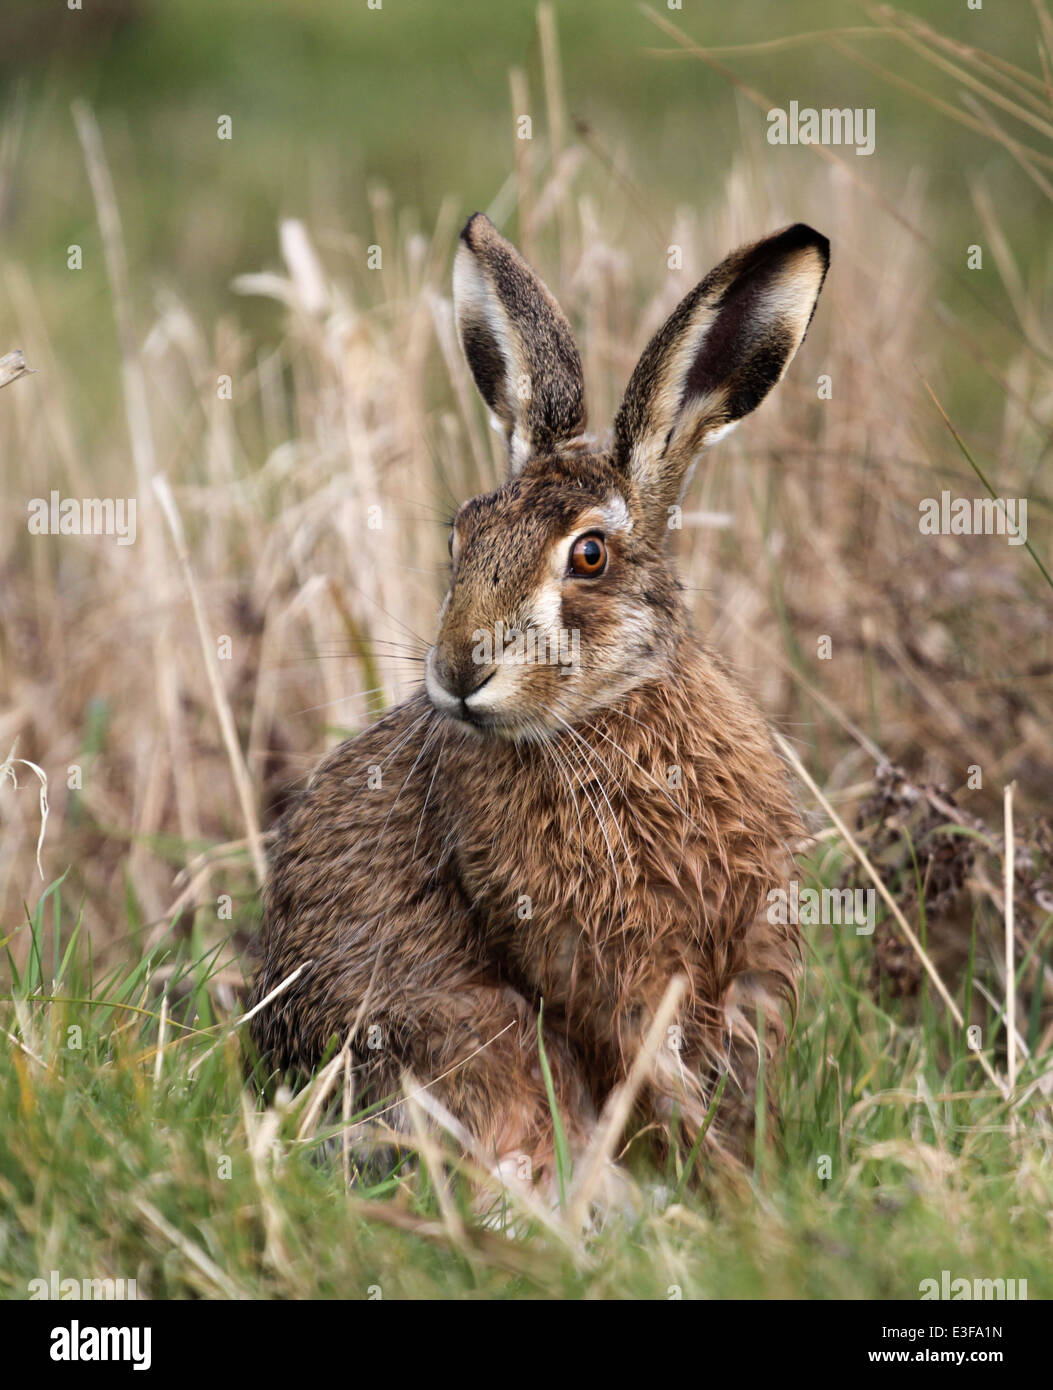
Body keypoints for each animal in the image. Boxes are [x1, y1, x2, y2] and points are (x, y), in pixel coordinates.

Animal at [250, 212, 829, 1198]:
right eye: (461, 536)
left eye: (588, 556)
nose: (458, 669)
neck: (608, 716)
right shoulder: (599, 975)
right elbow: (654, 1079)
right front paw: (725, 1191)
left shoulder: (746, 957)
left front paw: (747, 1187)